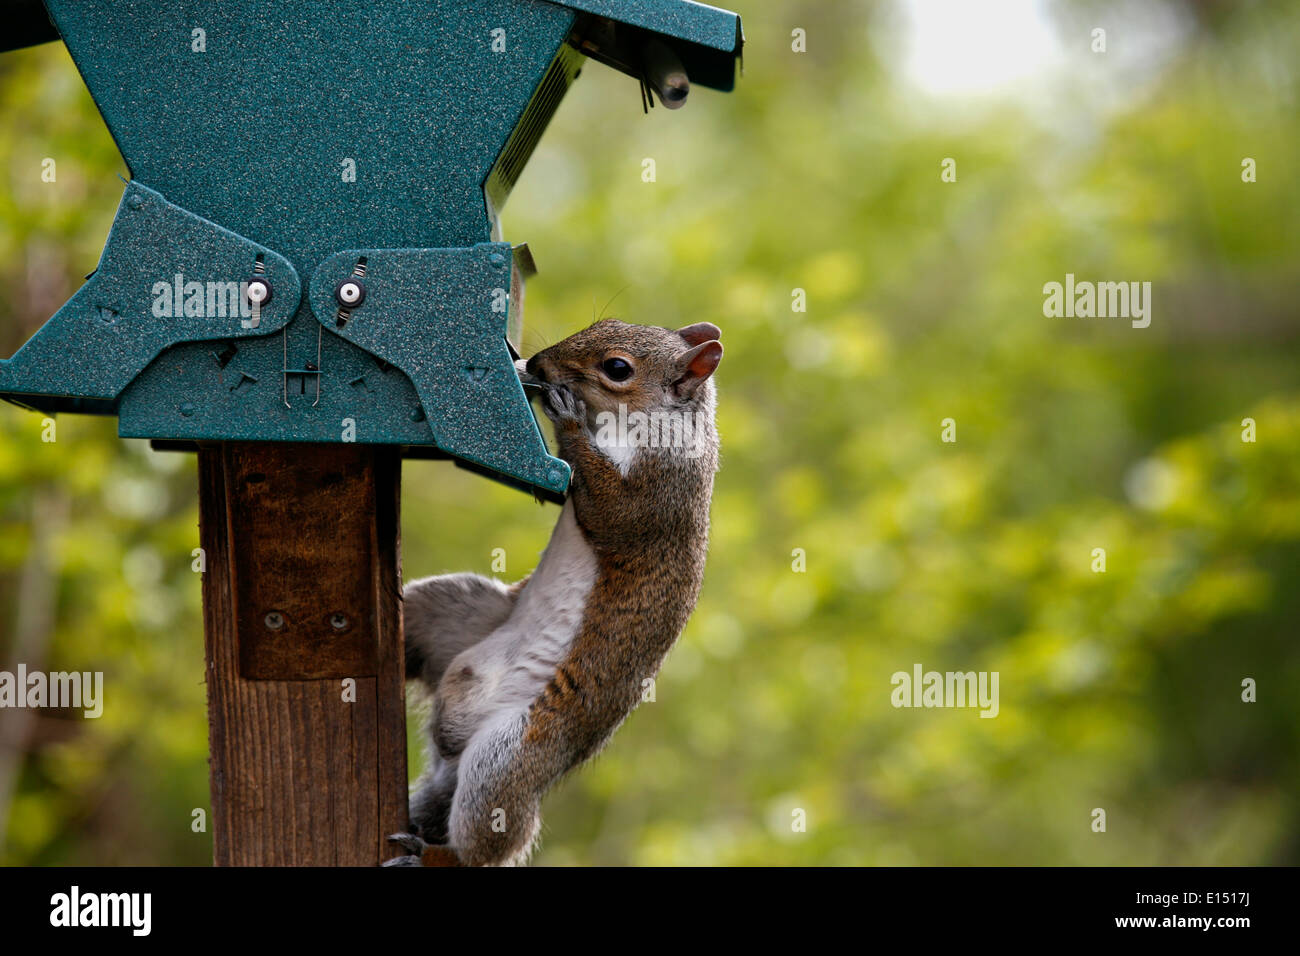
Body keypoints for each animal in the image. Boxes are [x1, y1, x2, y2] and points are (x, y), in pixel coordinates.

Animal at [385, 318, 723, 866]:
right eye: (600, 323)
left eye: (617, 368)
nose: (539, 365)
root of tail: (449, 757)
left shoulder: (661, 488)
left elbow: (611, 508)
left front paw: (565, 417)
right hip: (448, 614)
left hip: (508, 756)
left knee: (488, 841)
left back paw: (431, 856)